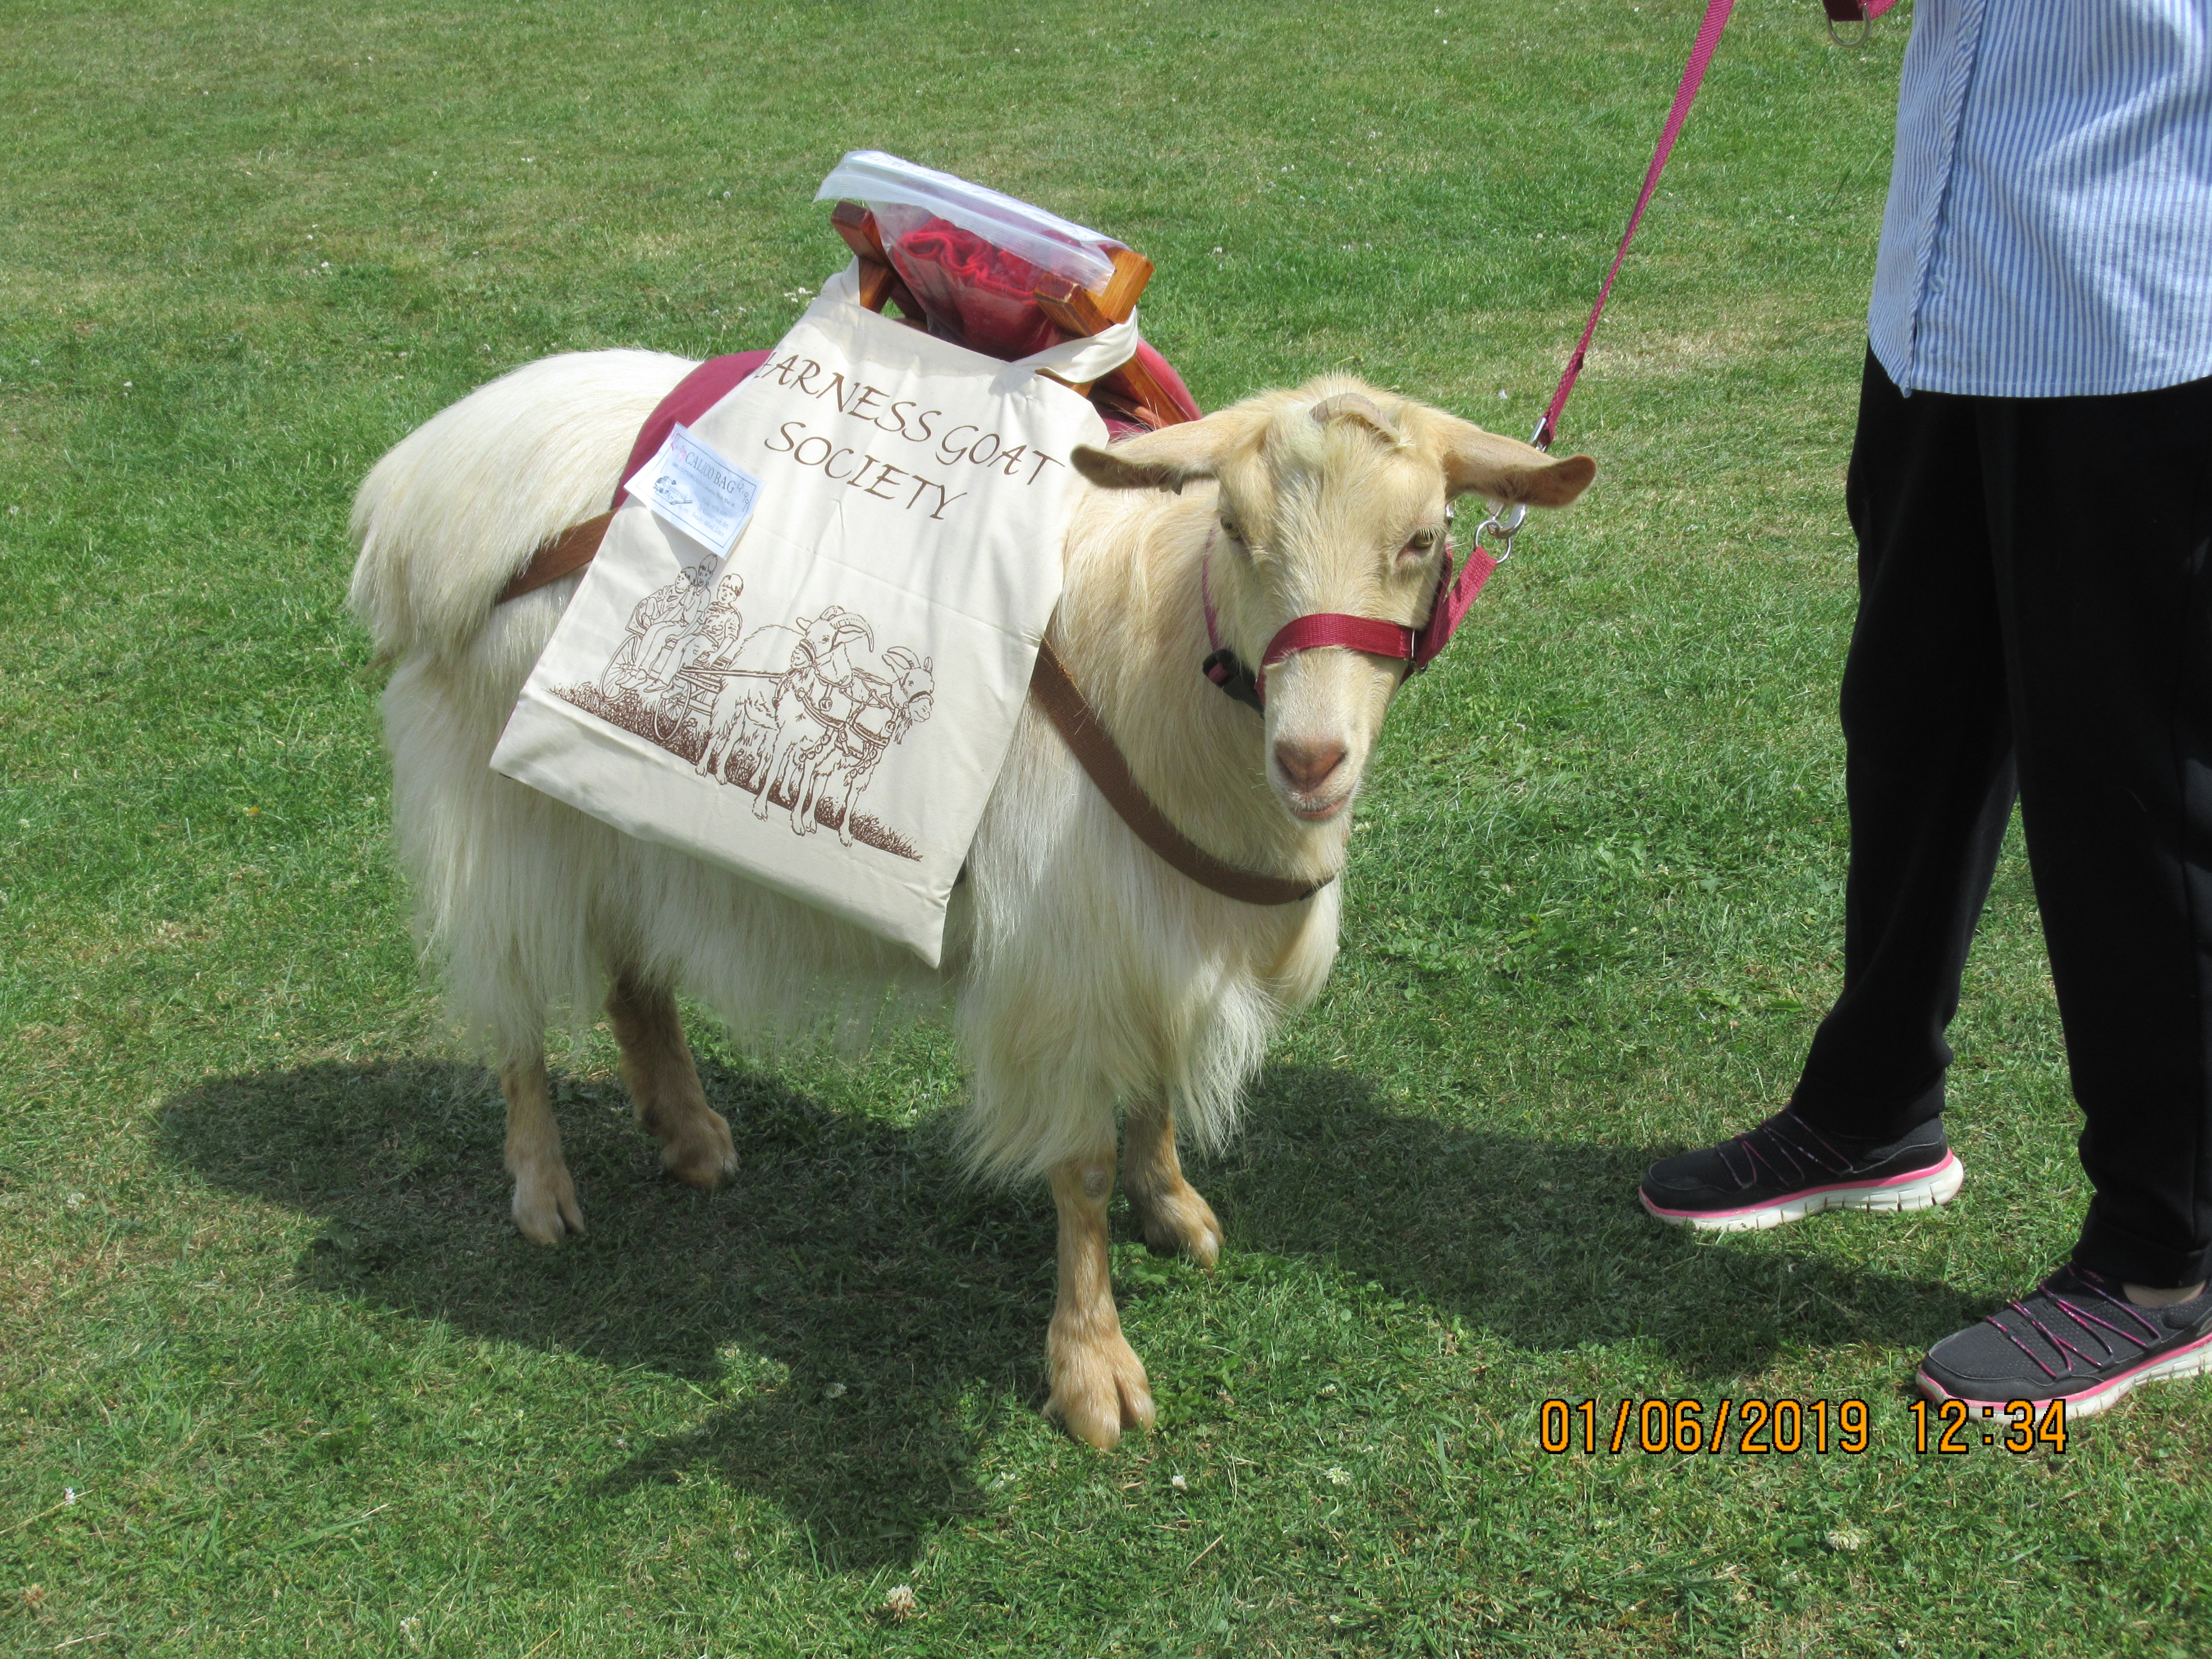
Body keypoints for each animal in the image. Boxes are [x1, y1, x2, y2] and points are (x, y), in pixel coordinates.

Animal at [346, 348, 1594, 1449]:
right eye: (1237, 531)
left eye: (1422, 538)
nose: (1312, 757)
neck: (1165, 687)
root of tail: (427, 474)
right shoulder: (1063, 955)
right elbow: (1078, 1168)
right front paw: (1093, 1372)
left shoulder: (1144, 935)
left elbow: (1153, 1095)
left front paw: (1171, 1205)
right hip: (501, 808)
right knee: (513, 1007)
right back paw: (543, 1191)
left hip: (614, 816)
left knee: (630, 974)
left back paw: (690, 1134)